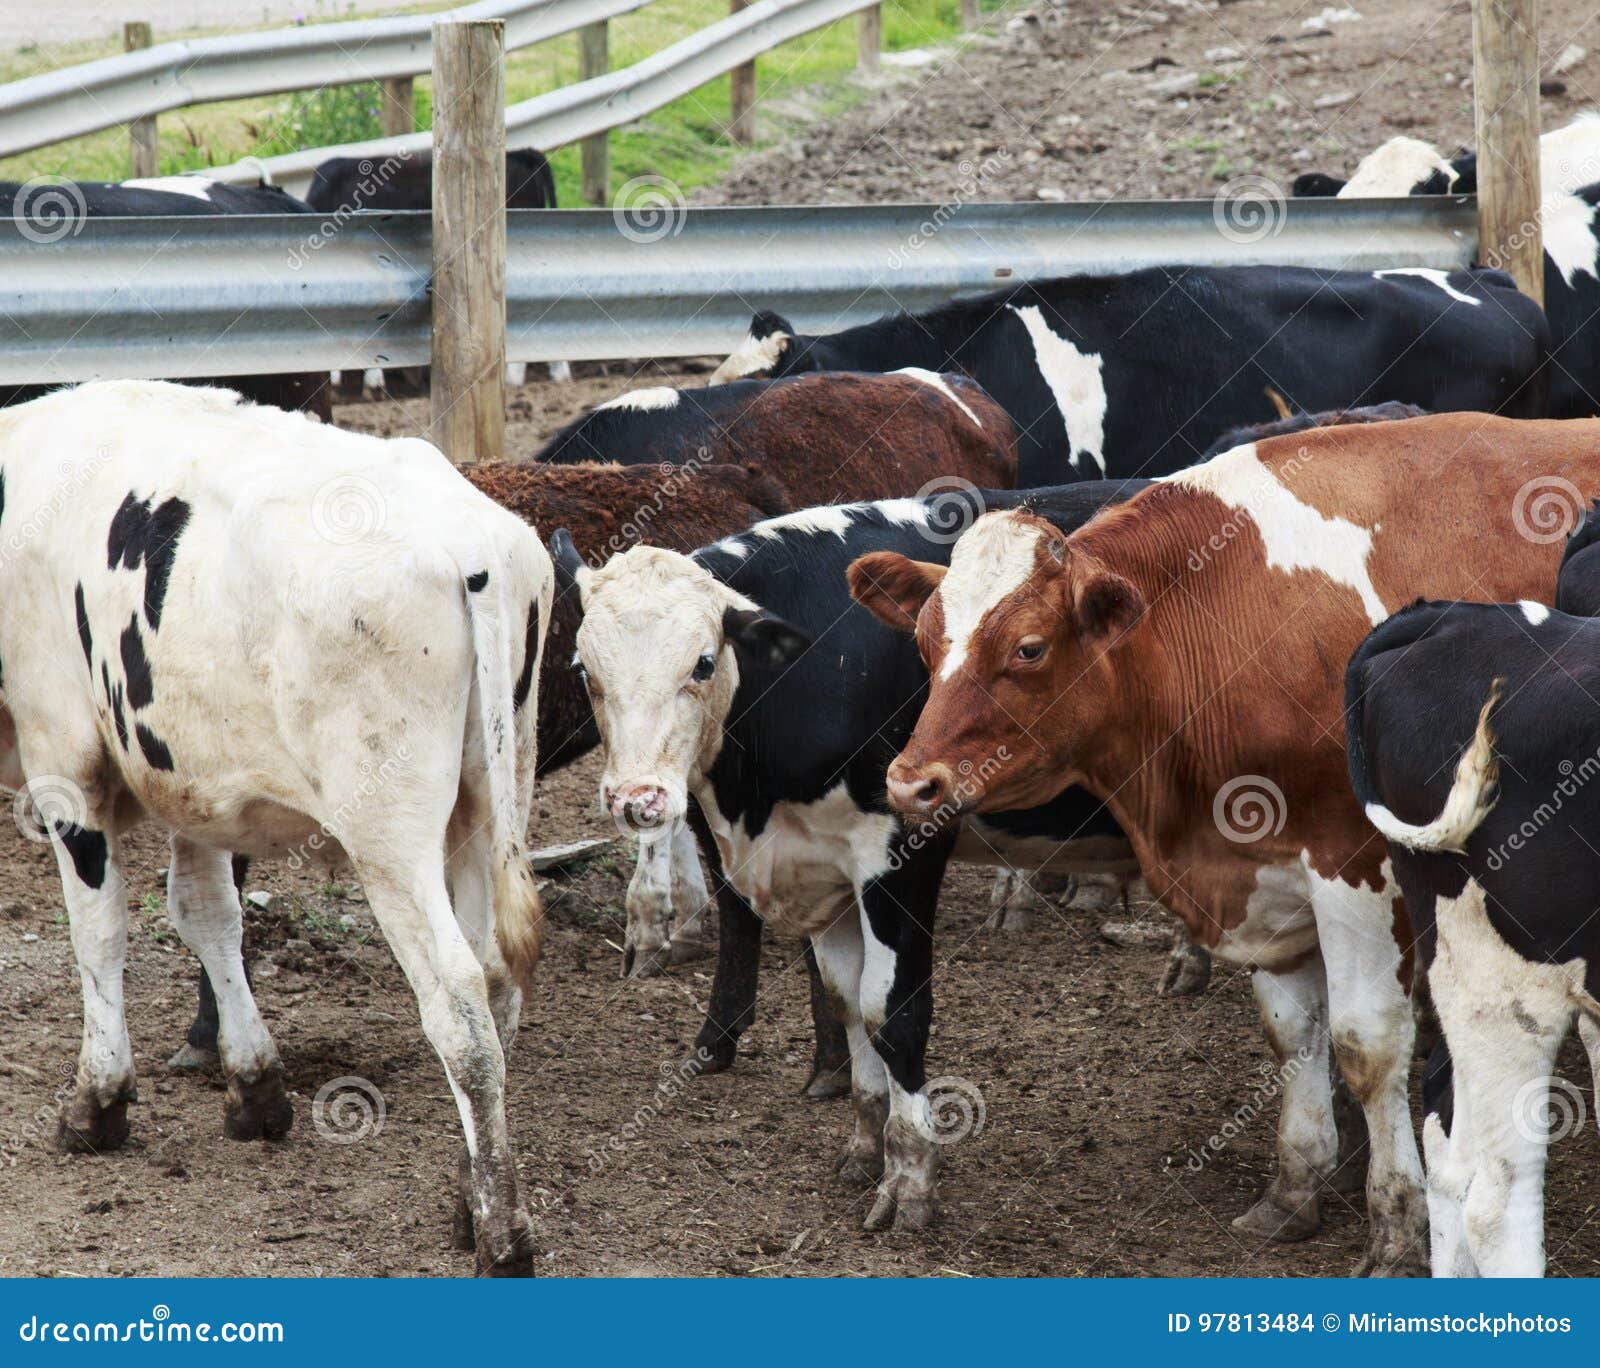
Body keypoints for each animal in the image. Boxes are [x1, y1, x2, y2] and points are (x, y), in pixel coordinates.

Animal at [0, 379, 552, 1275]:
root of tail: (469, 539)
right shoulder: (192, 775)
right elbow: (208, 915)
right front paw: (254, 1086)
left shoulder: (65, 762)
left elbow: (100, 933)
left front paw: (99, 1101)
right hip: (490, 796)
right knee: (498, 982)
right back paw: (466, 1205)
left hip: (388, 830)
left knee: (459, 1001)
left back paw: (503, 1238)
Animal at [544, 480, 1216, 1232]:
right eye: (584, 669)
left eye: (703, 663)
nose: (638, 798)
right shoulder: (824, 863)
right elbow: (847, 1000)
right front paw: (866, 1147)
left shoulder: (903, 851)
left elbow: (894, 1014)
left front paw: (910, 1180)